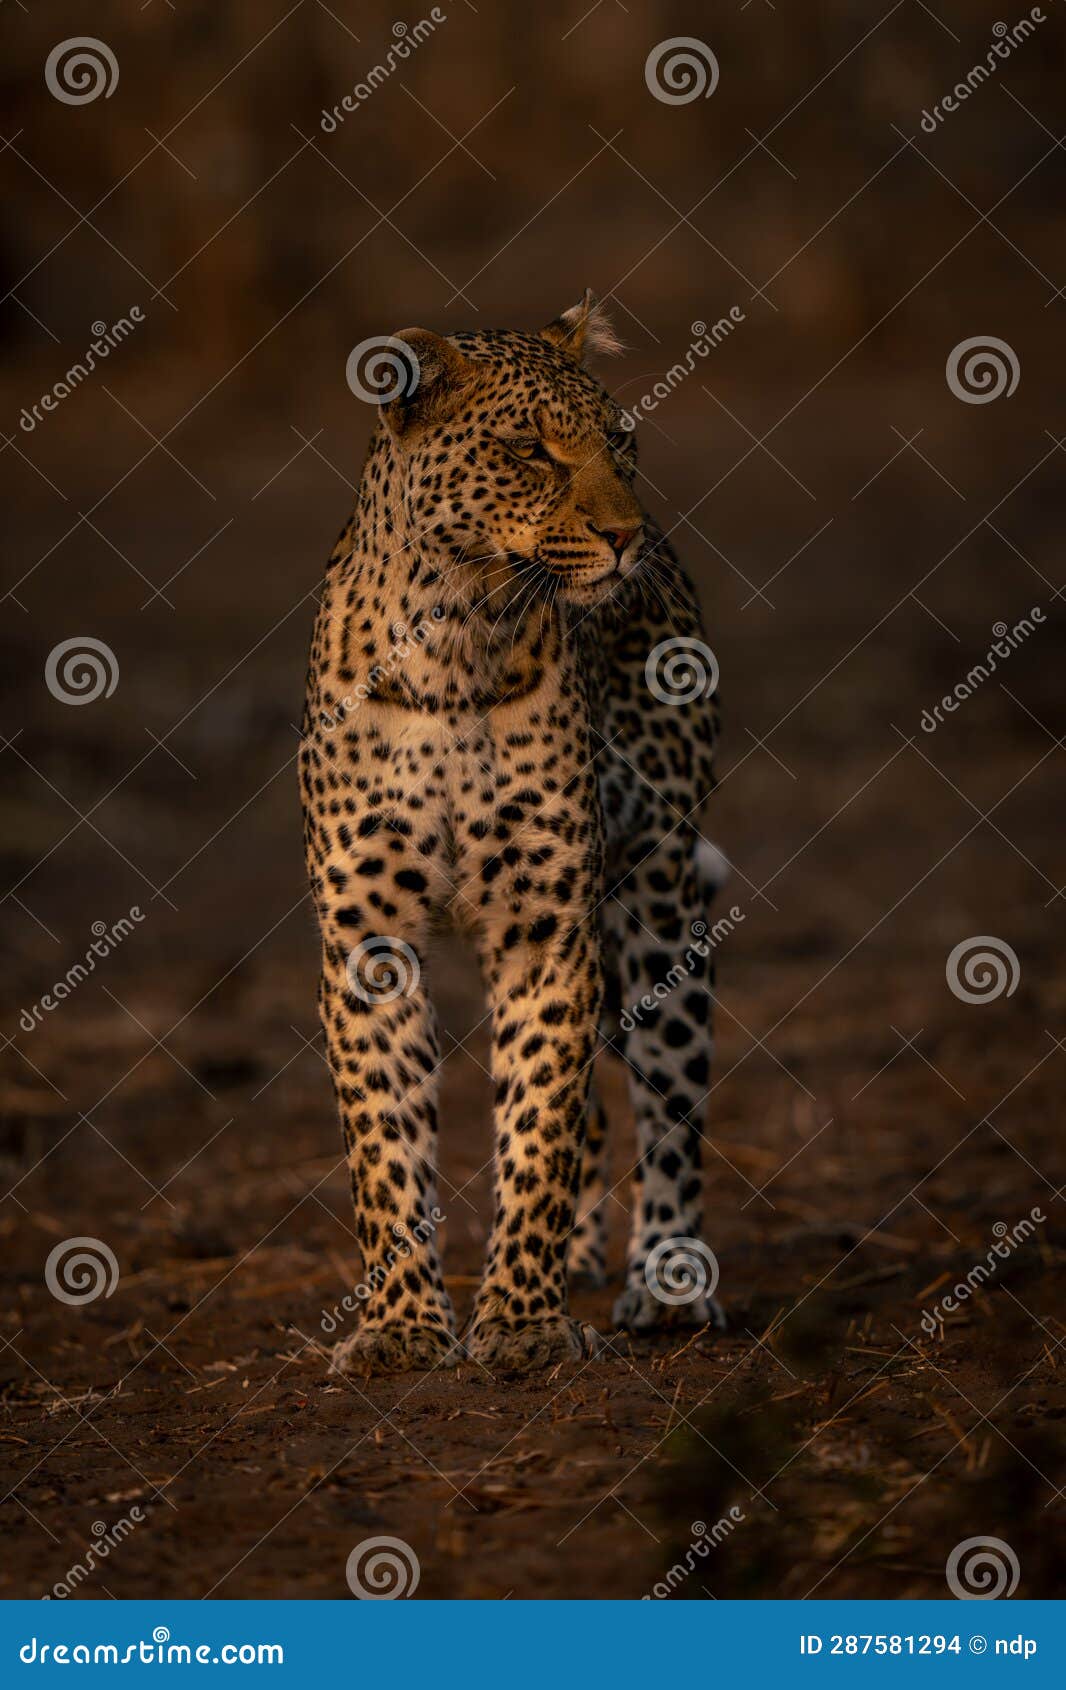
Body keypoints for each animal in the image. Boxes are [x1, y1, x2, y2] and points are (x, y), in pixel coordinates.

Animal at [299, 290, 727, 1375]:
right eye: (533, 450)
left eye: (620, 441)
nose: (625, 536)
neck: (459, 637)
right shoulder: (368, 940)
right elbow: (388, 1149)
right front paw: (402, 1326)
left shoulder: (546, 928)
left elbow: (535, 1127)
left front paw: (523, 1323)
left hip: (660, 894)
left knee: (667, 1100)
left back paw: (665, 1282)